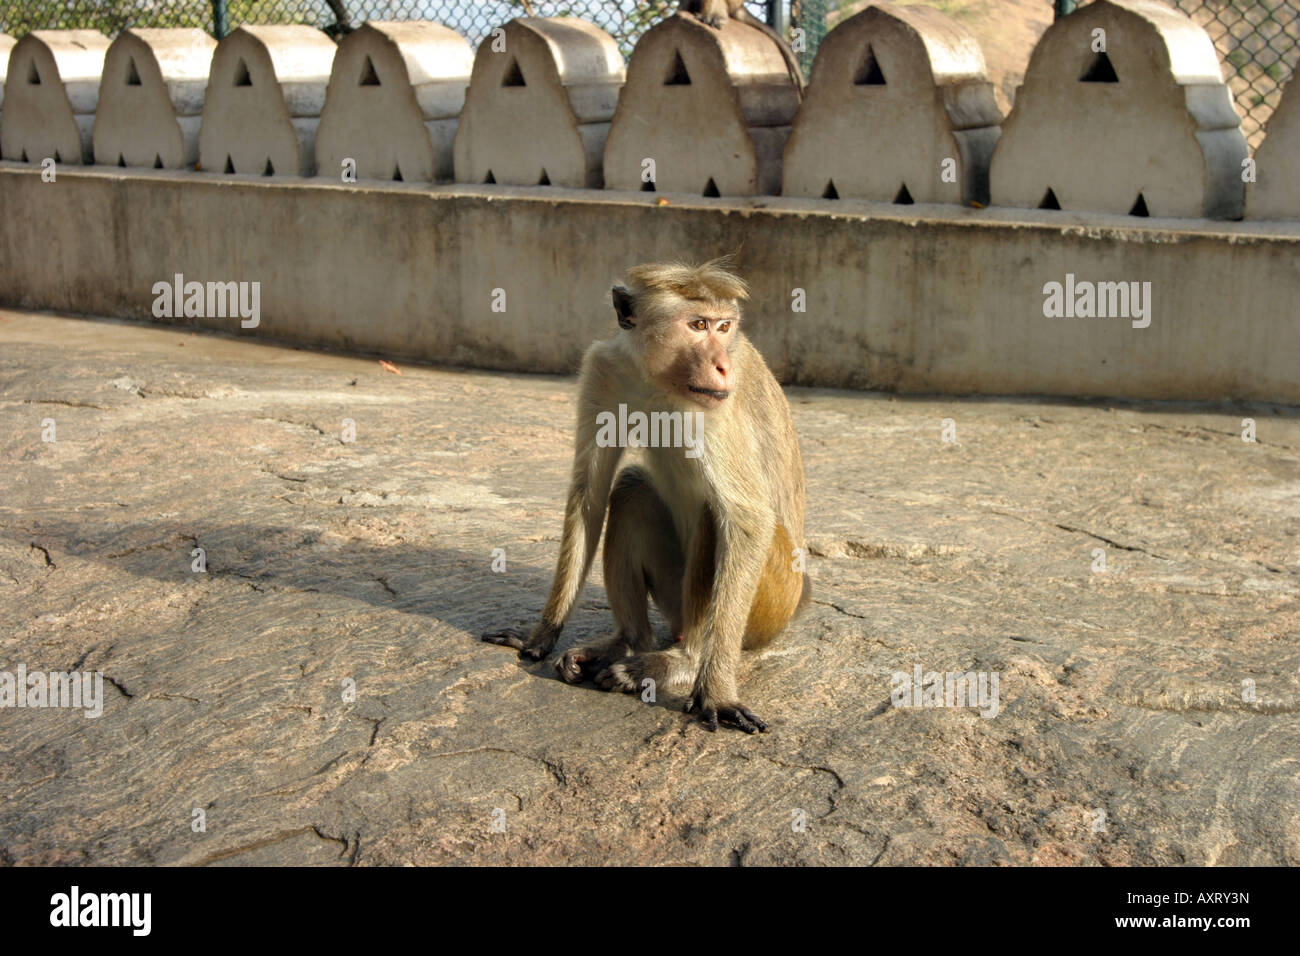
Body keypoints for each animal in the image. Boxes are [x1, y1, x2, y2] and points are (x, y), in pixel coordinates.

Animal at [482, 259, 810, 733]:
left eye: (724, 326)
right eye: (698, 325)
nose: (723, 367)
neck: (661, 379)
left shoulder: (718, 405)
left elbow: (747, 519)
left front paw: (717, 692)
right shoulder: (604, 369)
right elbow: (590, 495)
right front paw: (542, 634)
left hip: (771, 601)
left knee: (715, 516)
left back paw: (683, 661)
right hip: (675, 598)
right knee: (631, 488)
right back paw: (628, 644)